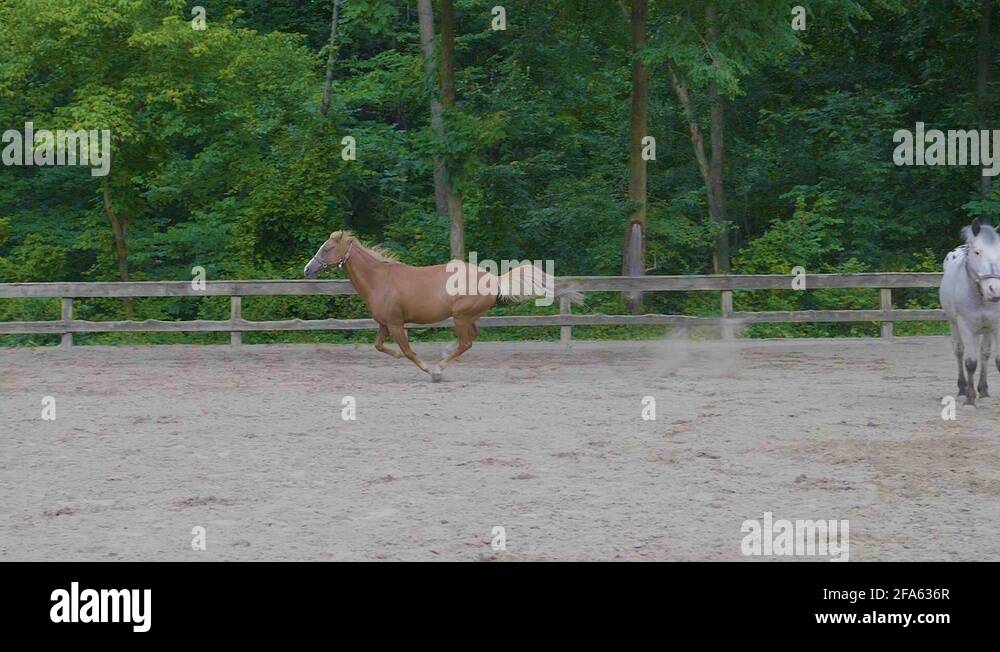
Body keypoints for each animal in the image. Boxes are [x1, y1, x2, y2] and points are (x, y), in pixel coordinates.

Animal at [304, 230, 584, 381]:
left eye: (327, 248)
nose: (307, 269)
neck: (379, 280)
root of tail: (493, 279)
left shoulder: (396, 324)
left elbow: (408, 351)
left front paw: (431, 371)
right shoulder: (384, 323)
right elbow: (380, 346)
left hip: (460, 316)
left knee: (466, 342)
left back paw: (440, 365)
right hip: (469, 317)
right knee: (470, 339)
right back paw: (444, 354)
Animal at [940, 218, 1000, 406]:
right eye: (977, 252)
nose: (994, 290)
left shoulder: (997, 326)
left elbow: (996, 360)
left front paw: (981, 392)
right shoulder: (965, 325)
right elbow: (971, 362)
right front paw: (970, 399)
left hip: (986, 330)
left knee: (984, 354)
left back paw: (984, 390)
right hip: (954, 324)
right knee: (959, 352)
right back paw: (962, 389)